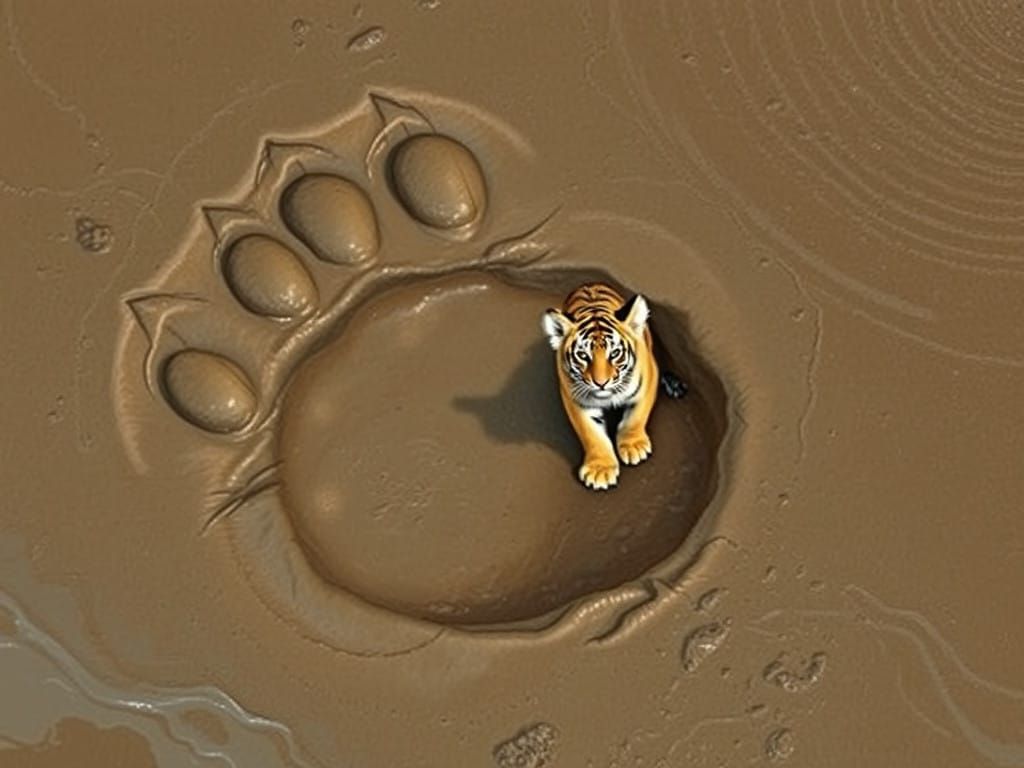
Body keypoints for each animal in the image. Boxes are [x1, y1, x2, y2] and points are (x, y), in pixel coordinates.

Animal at [541, 282, 668, 491]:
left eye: (615, 353)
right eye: (583, 355)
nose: (601, 383)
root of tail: (589, 284)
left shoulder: (648, 380)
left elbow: (636, 417)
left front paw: (633, 447)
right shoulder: (576, 399)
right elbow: (591, 434)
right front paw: (600, 470)